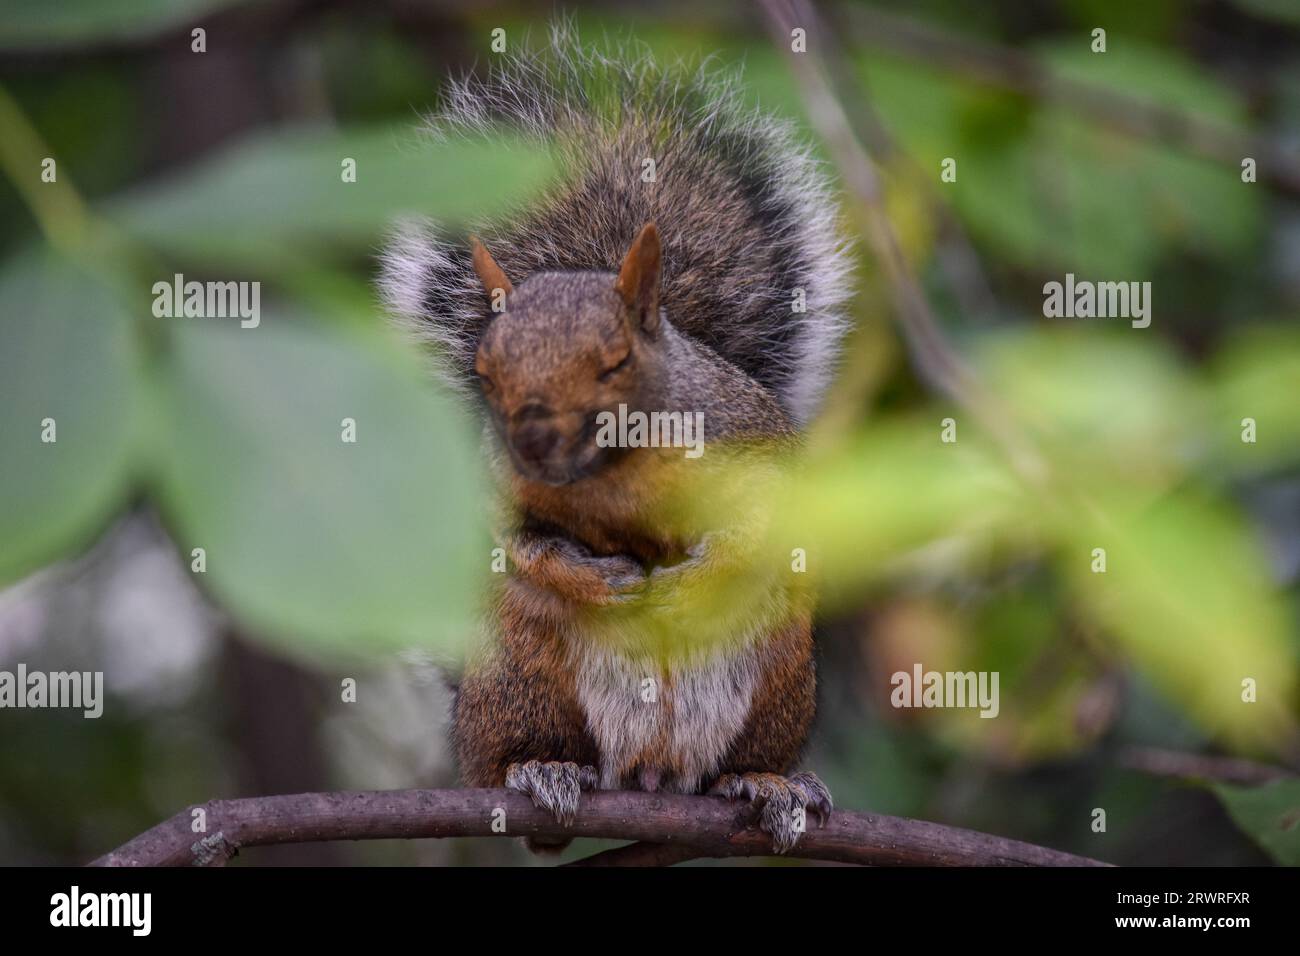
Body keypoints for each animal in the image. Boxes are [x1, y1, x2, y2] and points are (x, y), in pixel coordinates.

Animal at [380, 25, 852, 853]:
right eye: (485, 372)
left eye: (615, 363)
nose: (535, 442)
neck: (612, 475)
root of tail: (651, 770)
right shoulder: (497, 486)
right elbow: (517, 544)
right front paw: (601, 581)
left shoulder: (749, 443)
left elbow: (758, 526)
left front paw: (686, 585)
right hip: (520, 680)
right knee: (507, 760)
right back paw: (539, 769)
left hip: (780, 680)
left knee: (736, 759)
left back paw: (767, 783)